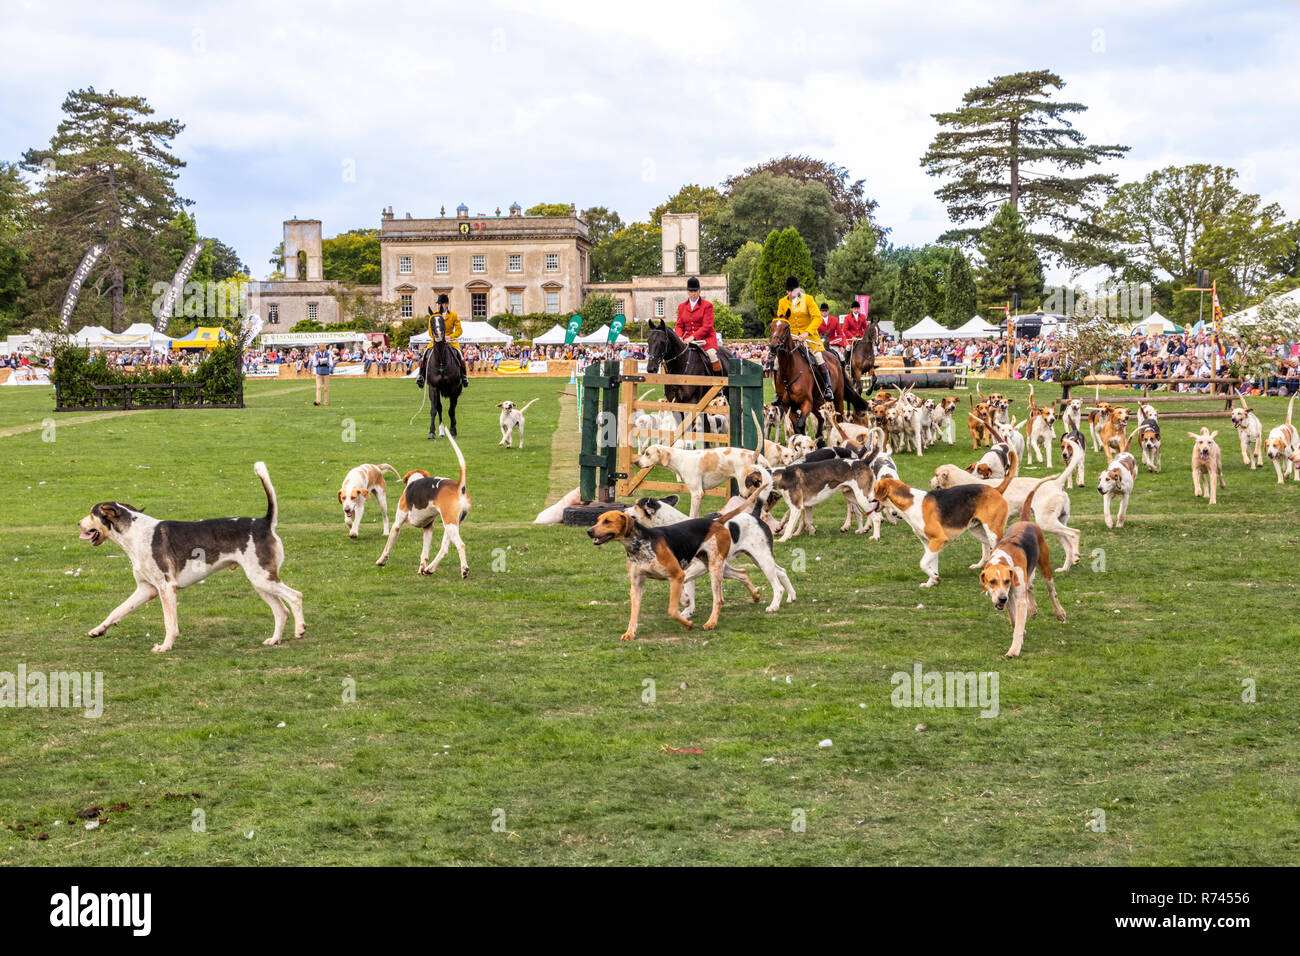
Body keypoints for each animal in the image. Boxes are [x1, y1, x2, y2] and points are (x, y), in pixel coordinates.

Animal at [419, 311, 463, 440]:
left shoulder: (454, 388)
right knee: (439, 407)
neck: (441, 361)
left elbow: (451, 411)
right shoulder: (433, 388)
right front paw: (431, 432)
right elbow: (434, 409)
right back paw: (442, 431)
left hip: (457, 391)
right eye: (432, 322)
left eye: (442, 321)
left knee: (452, 407)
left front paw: (453, 431)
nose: (438, 335)